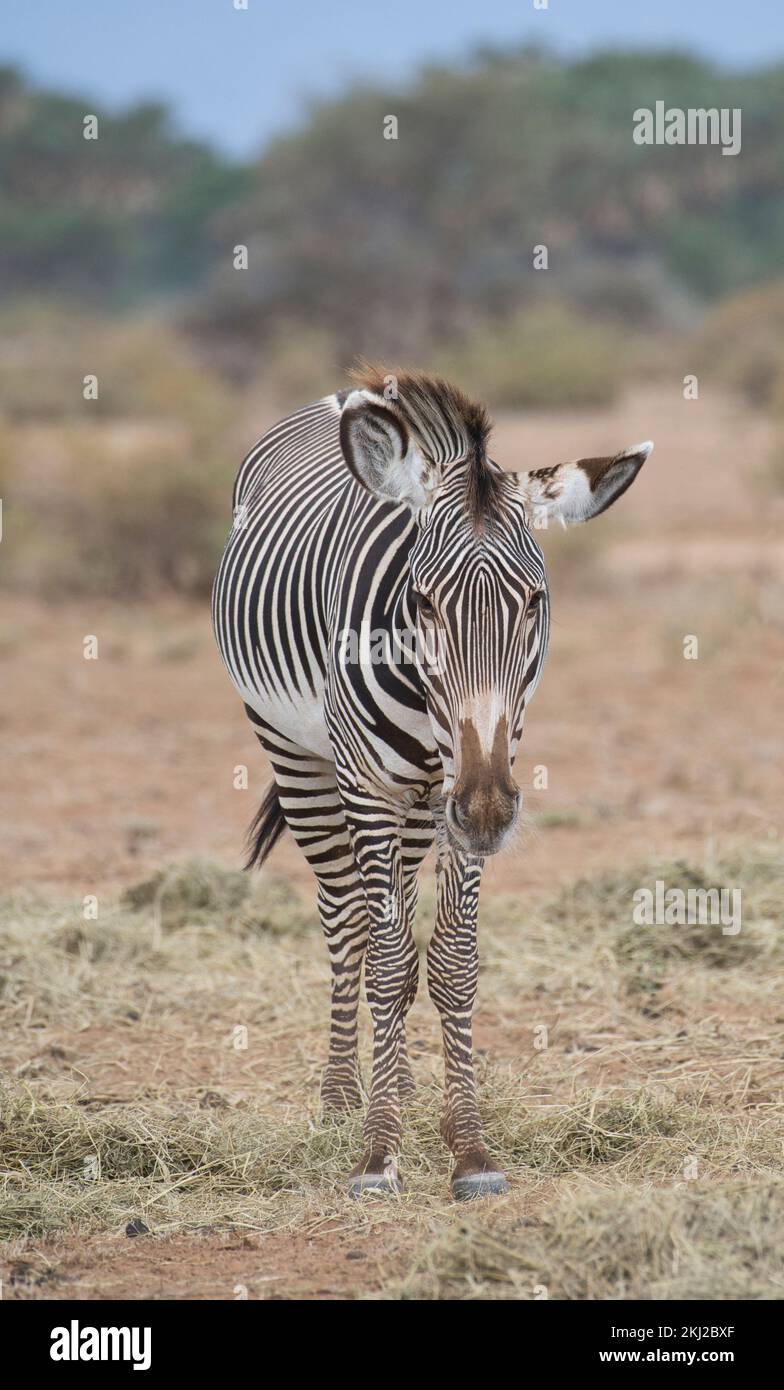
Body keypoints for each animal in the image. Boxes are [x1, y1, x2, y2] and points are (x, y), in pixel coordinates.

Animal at [212, 364, 652, 1199]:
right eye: (421, 601)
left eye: (535, 602)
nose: (483, 810)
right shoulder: (371, 788)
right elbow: (387, 963)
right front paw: (378, 1153)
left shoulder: (471, 785)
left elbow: (449, 960)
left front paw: (467, 1148)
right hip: (297, 755)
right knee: (346, 919)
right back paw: (342, 1098)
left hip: (420, 810)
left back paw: (403, 1083)